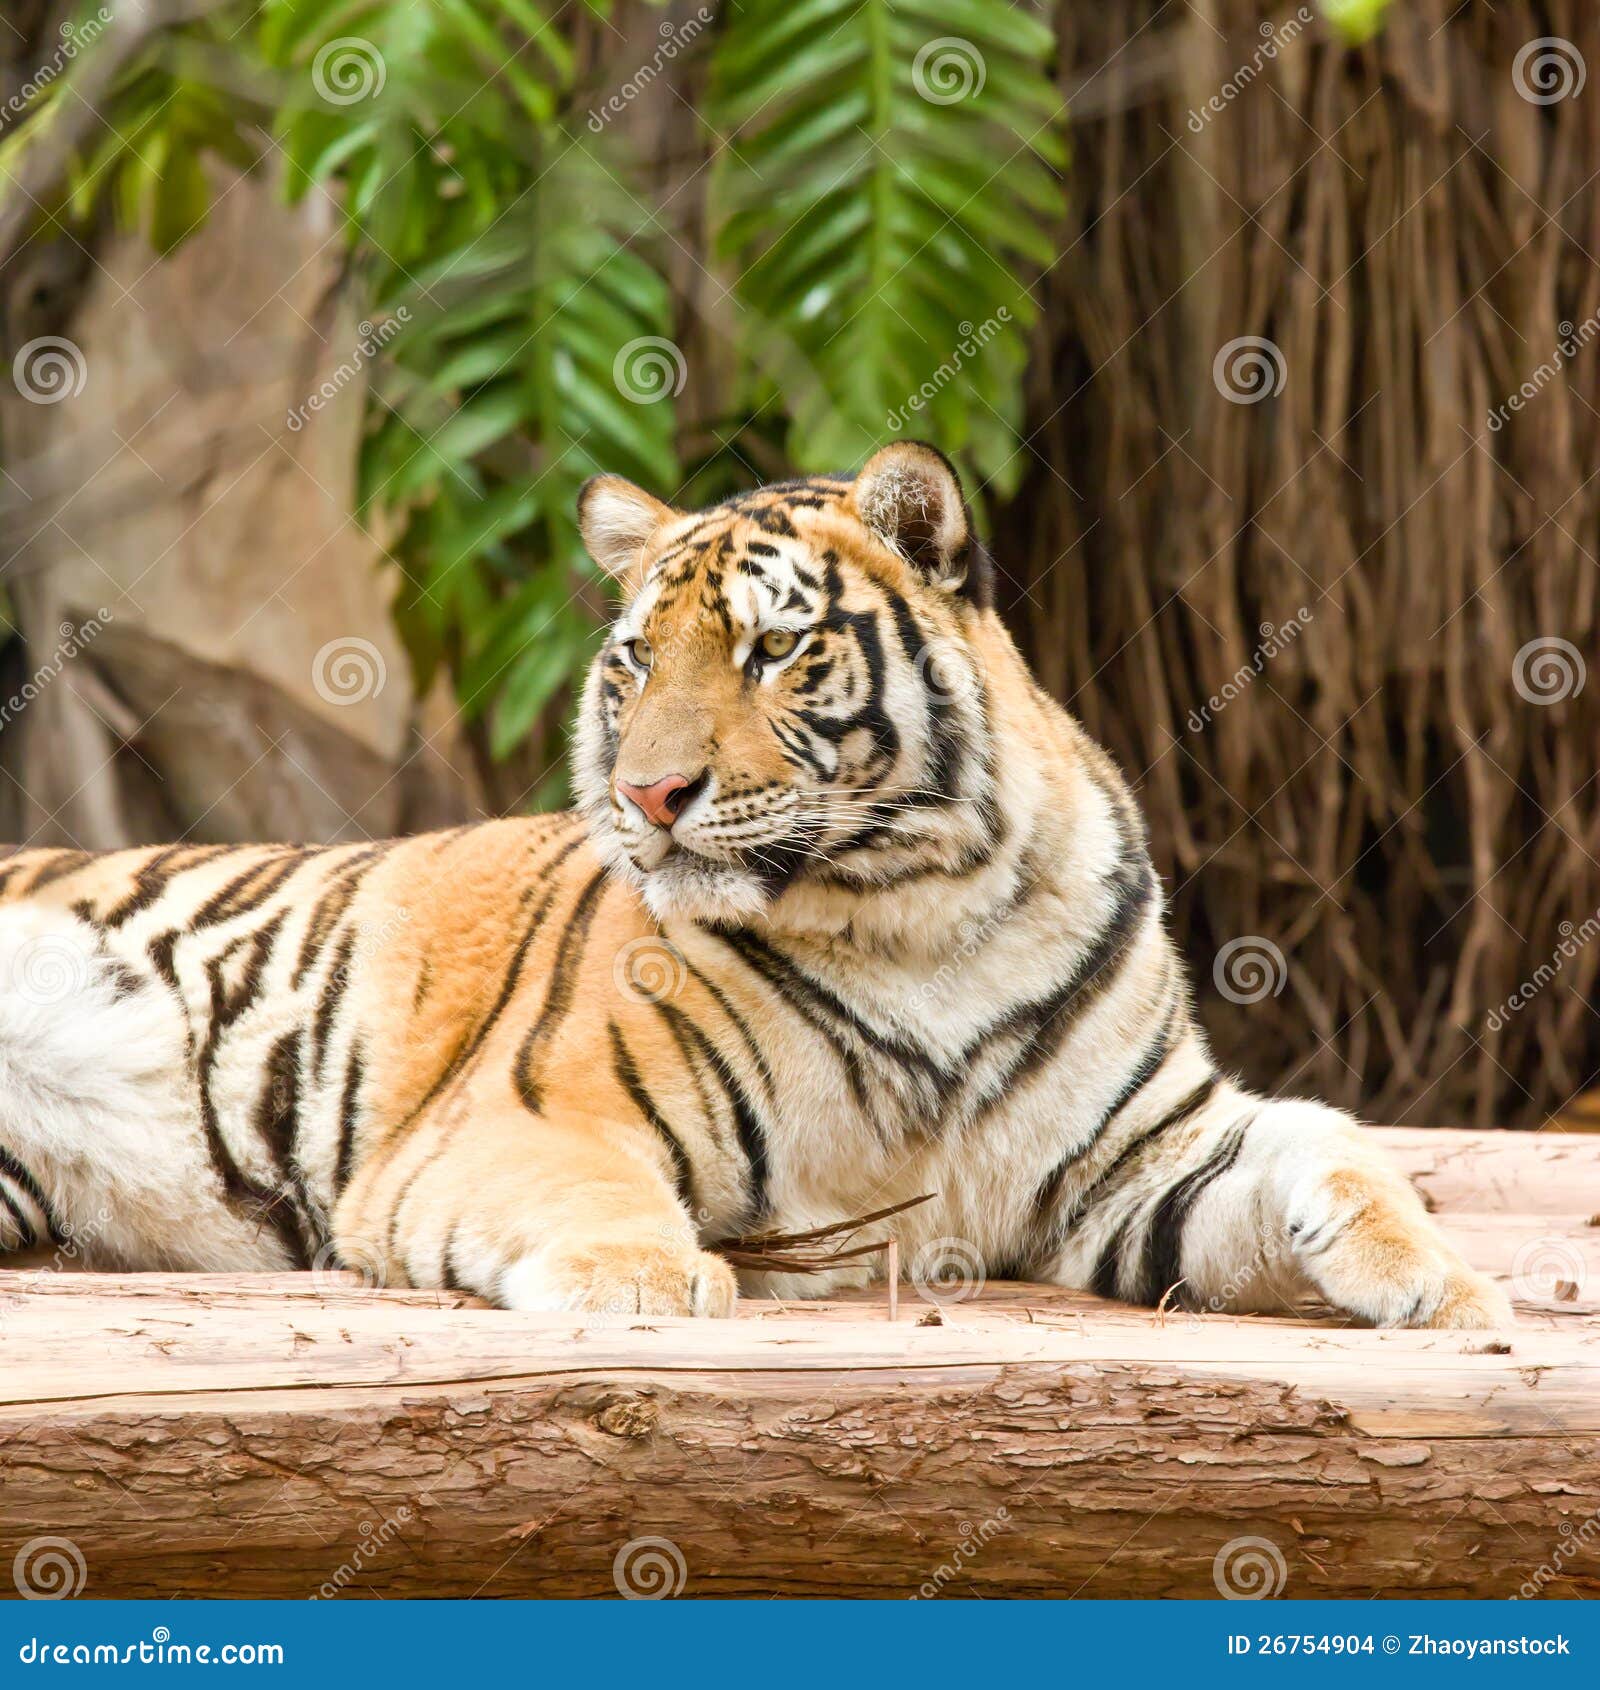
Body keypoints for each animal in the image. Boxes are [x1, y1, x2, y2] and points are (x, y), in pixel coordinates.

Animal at [0, 442, 1509, 1328]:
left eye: (774, 650)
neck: (927, 917)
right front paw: (644, 1284)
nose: (650, 796)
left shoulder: (1133, 1160)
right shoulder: (521, 1116)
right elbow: (594, 1195)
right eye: (632, 662)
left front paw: (1441, 1280)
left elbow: (1331, 1143)